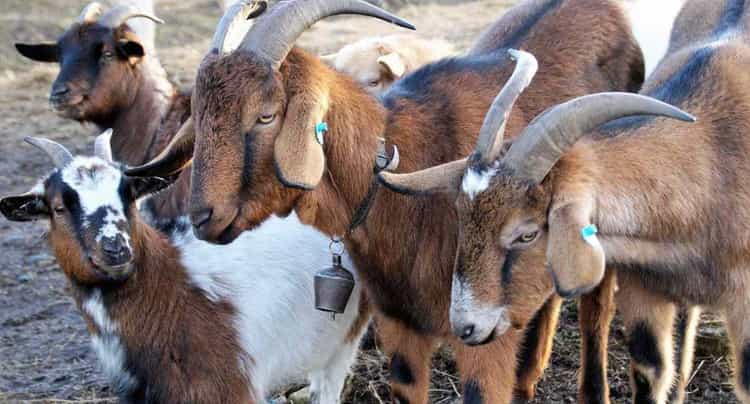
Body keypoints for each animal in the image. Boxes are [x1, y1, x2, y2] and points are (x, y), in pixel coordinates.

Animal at [0, 132, 368, 404]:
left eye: (128, 196)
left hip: (342, 337)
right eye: (59, 207)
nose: (116, 248)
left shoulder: (230, 386)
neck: (176, 288)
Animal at [376, 0, 750, 402]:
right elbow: (651, 371)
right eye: (462, 218)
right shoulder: (644, 292)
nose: (465, 326)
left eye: (527, 233)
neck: (711, 157)